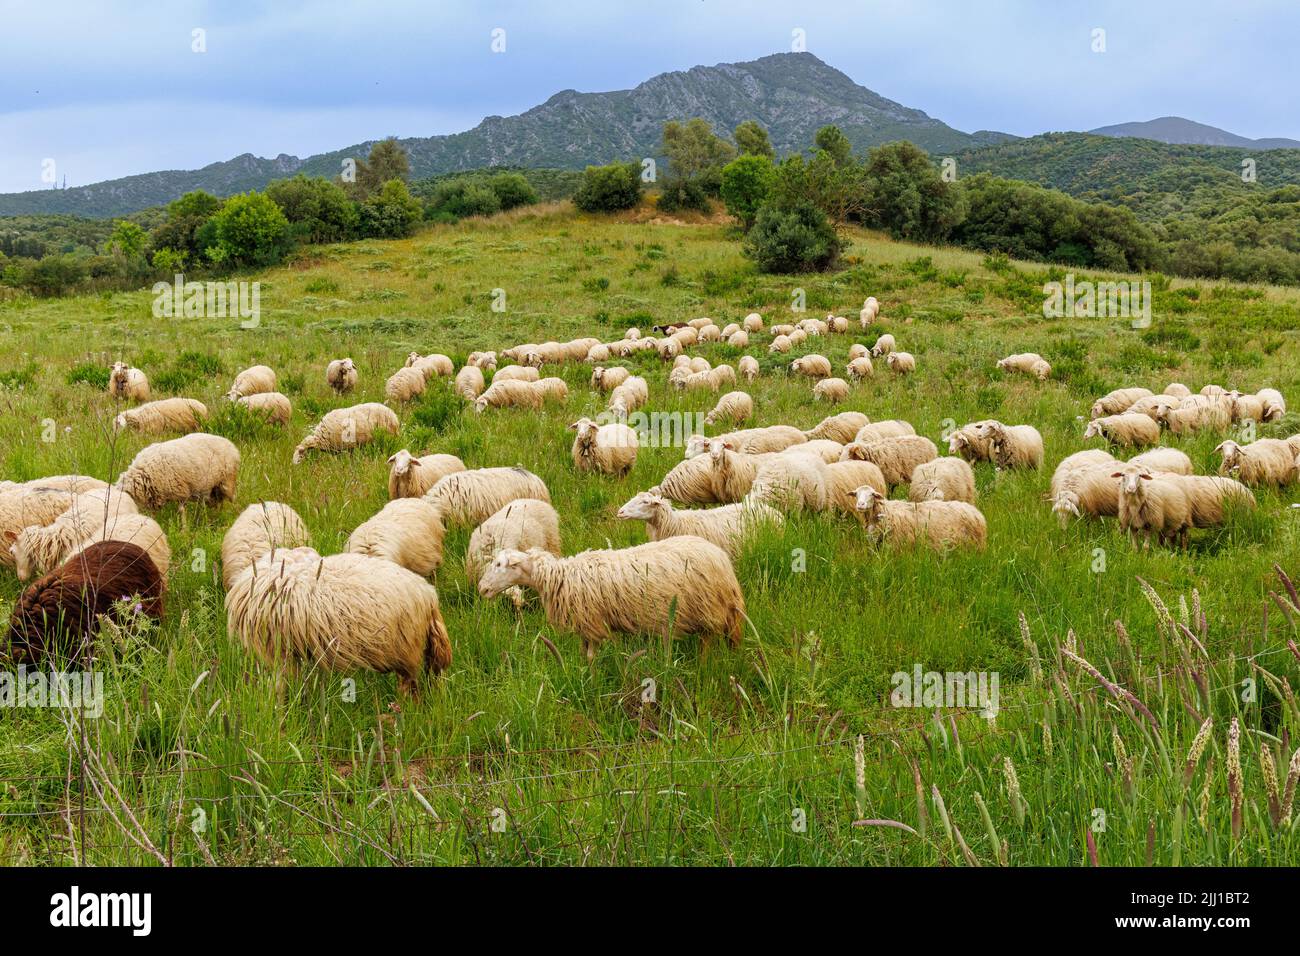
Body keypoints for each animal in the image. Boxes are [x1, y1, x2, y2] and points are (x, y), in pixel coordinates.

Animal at [477, 538, 746, 659]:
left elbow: (591, 656)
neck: (559, 577)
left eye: (500, 565)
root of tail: (721, 557)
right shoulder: (586, 626)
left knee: (707, 640)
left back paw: (703, 663)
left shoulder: (593, 622)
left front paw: (592, 681)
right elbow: (584, 654)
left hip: (709, 608)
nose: (482, 589)